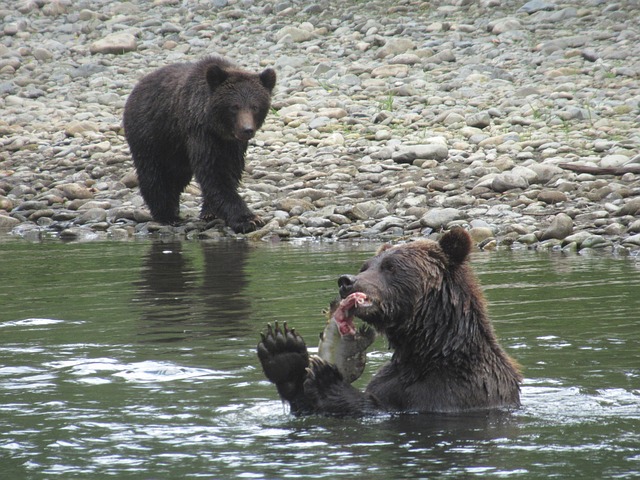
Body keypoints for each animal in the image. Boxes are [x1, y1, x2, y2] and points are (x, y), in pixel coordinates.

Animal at [123, 56, 276, 233]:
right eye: (234, 107)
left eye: (255, 106)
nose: (247, 130)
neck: (219, 131)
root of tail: (136, 88)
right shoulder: (200, 133)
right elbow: (214, 173)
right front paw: (248, 219)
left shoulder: (233, 145)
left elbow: (230, 171)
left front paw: (210, 212)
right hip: (152, 135)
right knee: (154, 174)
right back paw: (167, 215)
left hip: (176, 150)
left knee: (176, 175)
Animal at [257, 228, 522, 416]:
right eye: (365, 266)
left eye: (390, 267)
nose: (346, 281)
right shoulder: (390, 380)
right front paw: (283, 351)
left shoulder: (455, 393)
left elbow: (374, 407)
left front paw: (326, 378)